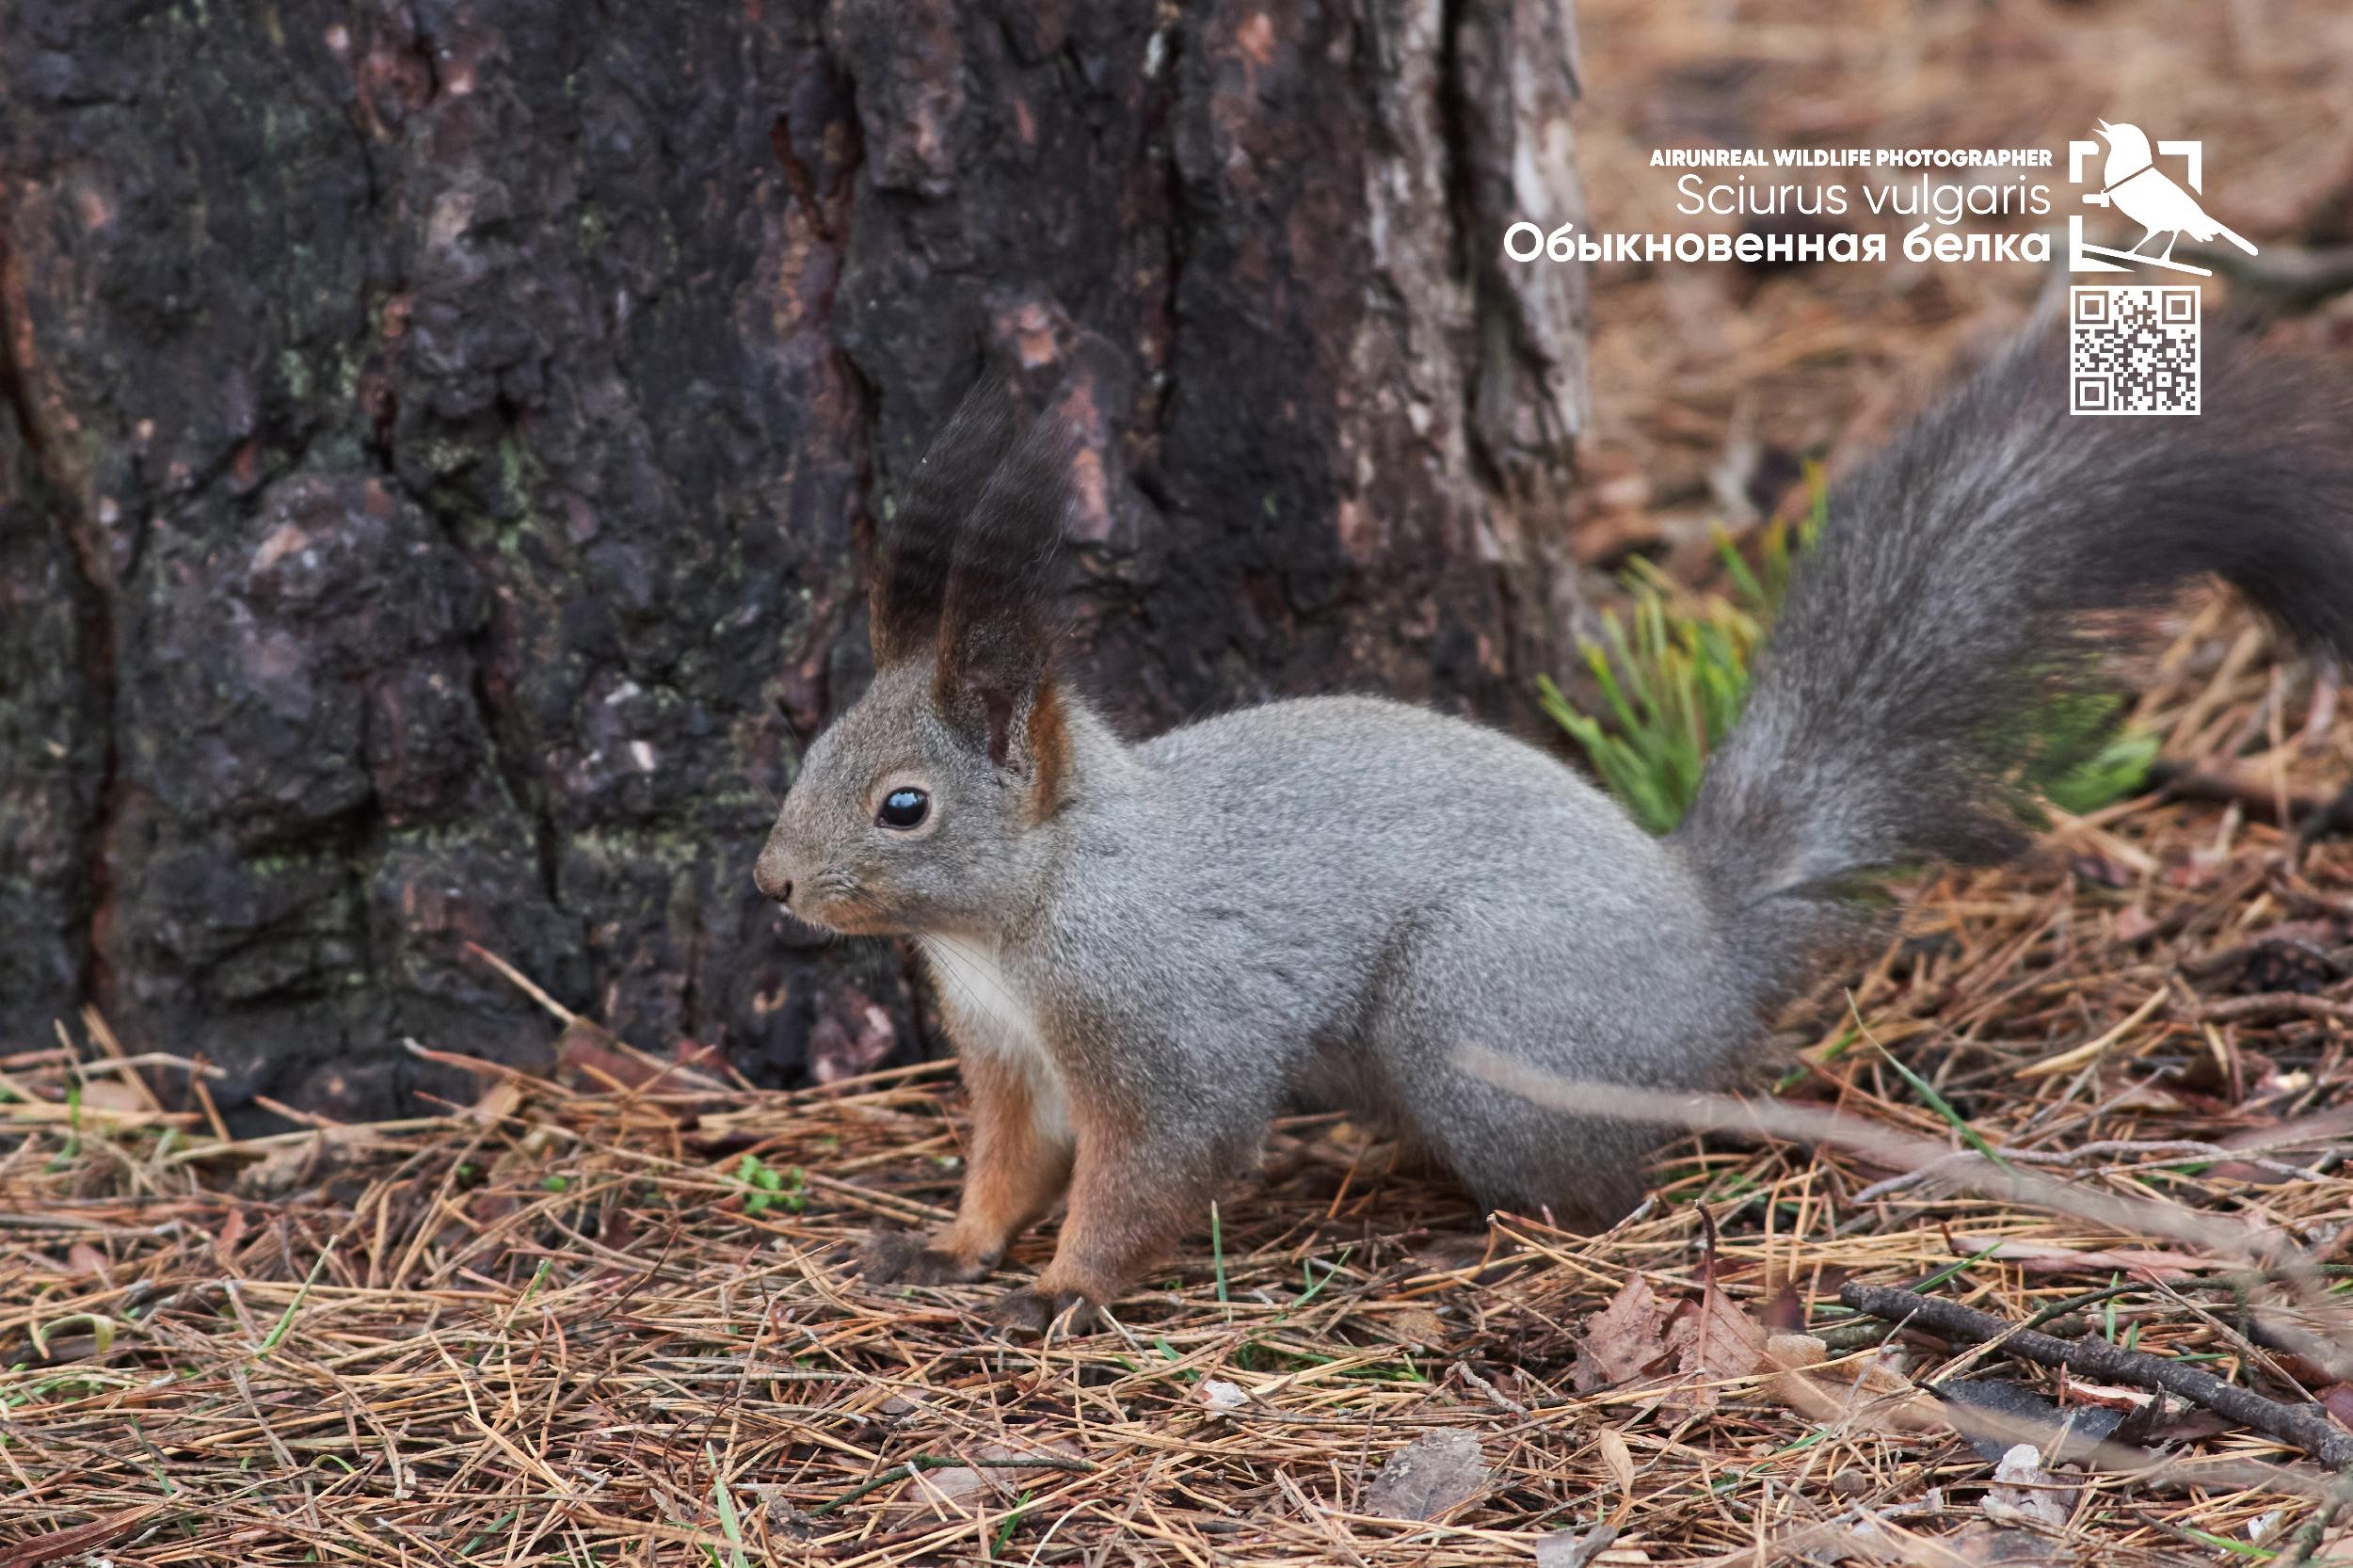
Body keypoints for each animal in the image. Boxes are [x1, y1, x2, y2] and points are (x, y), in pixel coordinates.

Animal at [753, 322, 2353, 1327]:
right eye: (812, 744)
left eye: (904, 806)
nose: (772, 883)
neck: (1018, 916)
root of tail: (1706, 947)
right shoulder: (1007, 1056)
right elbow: (1009, 1162)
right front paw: (948, 1246)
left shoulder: (1159, 1018)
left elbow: (1151, 1162)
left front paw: (1064, 1292)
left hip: (1476, 1011)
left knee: (1609, 1172)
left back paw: (1500, 1218)